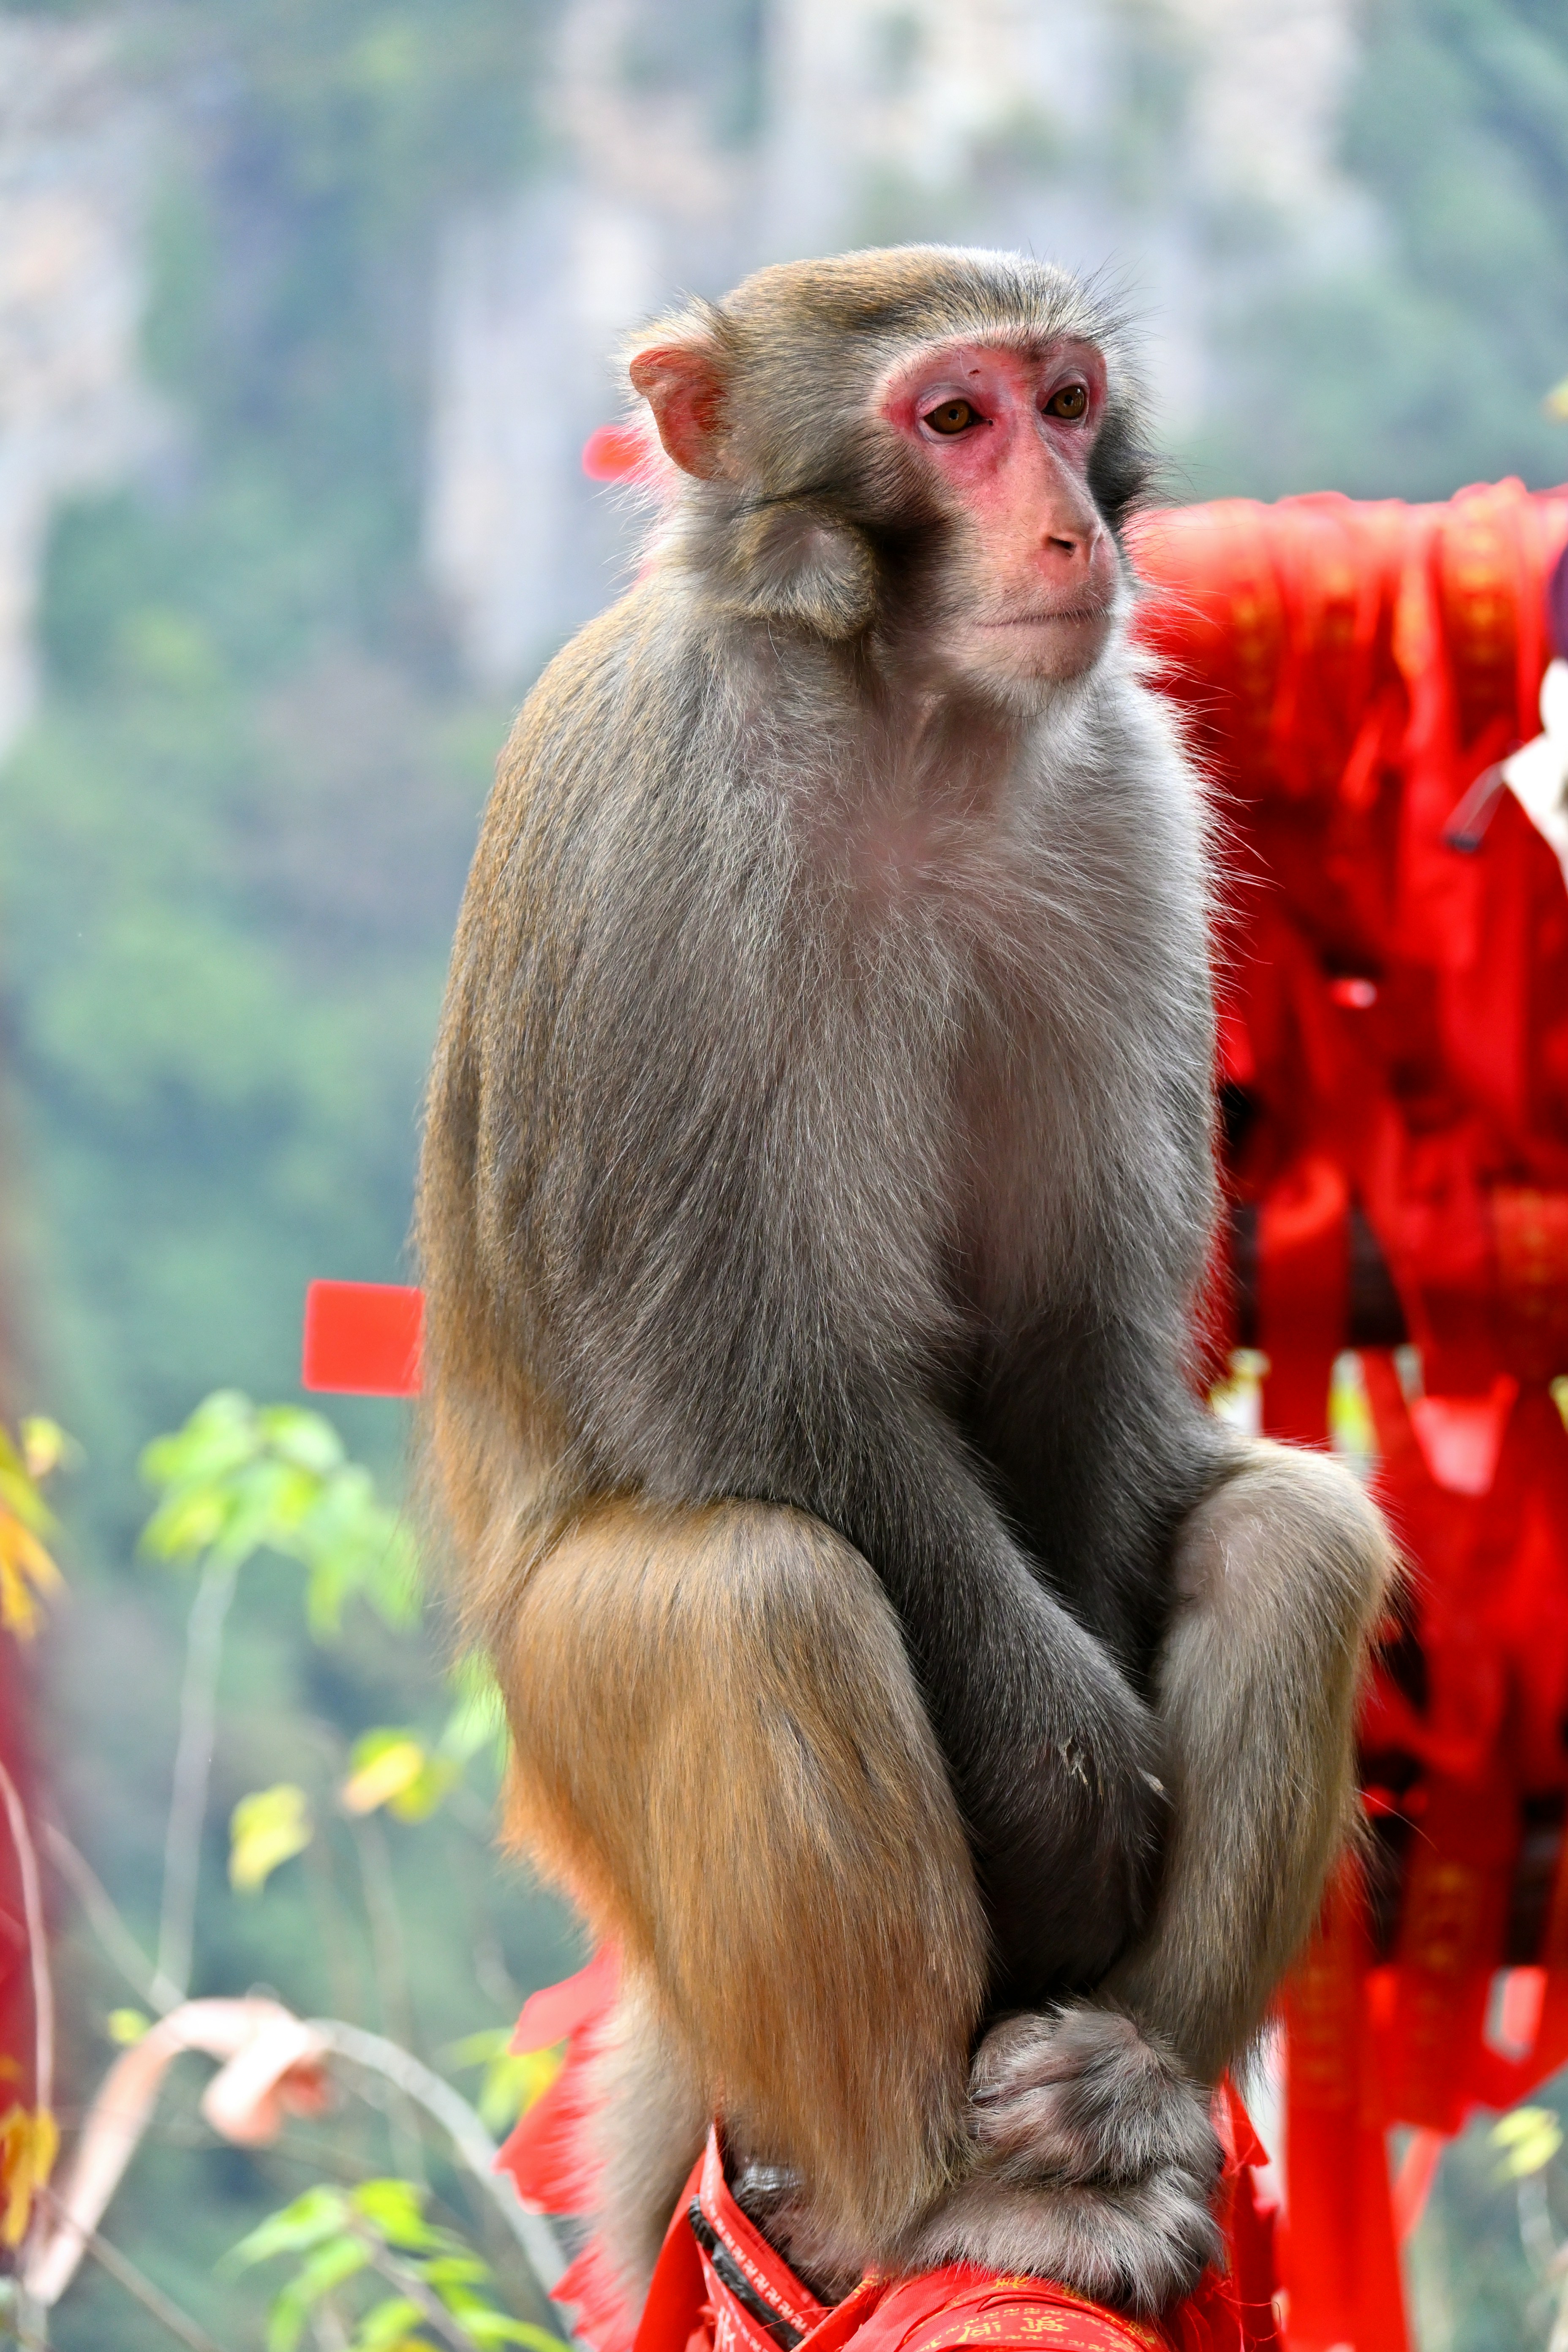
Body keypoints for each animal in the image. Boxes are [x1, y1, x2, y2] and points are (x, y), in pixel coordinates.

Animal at [415, 245, 1393, 2318]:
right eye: (951, 418)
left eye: (1063, 396)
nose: (1063, 520)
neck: (907, 717)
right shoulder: (674, 824)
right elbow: (739, 1360)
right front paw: (1071, 1781)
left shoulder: (1128, 802)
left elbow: (1082, 1337)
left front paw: (1094, 1895)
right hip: (583, 1777)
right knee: (754, 1597)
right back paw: (931, 2191)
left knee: (1291, 1536)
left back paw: (1121, 2083)